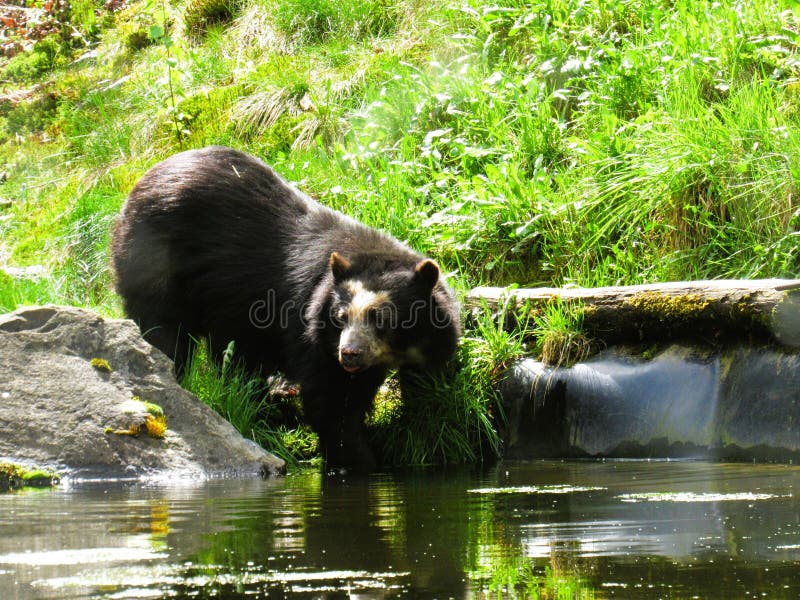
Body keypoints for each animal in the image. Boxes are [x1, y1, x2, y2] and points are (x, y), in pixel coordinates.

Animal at [111, 146, 460, 469]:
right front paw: (358, 460)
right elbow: (331, 401)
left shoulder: (430, 337)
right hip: (154, 265)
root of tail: (142, 182)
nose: (349, 353)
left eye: (383, 319)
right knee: (165, 335)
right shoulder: (312, 331)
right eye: (341, 317)